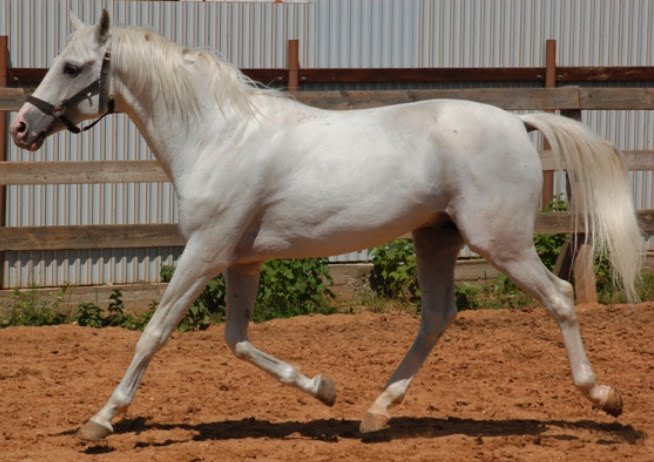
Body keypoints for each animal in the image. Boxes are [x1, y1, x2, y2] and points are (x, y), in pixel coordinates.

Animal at [10, 10, 643, 441]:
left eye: (71, 66)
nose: (20, 126)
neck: (218, 137)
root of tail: (517, 121)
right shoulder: (243, 259)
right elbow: (237, 340)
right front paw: (323, 389)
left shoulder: (205, 252)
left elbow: (155, 332)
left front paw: (100, 420)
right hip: (435, 238)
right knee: (437, 316)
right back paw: (376, 412)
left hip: (500, 242)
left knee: (560, 297)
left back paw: (604, 396)